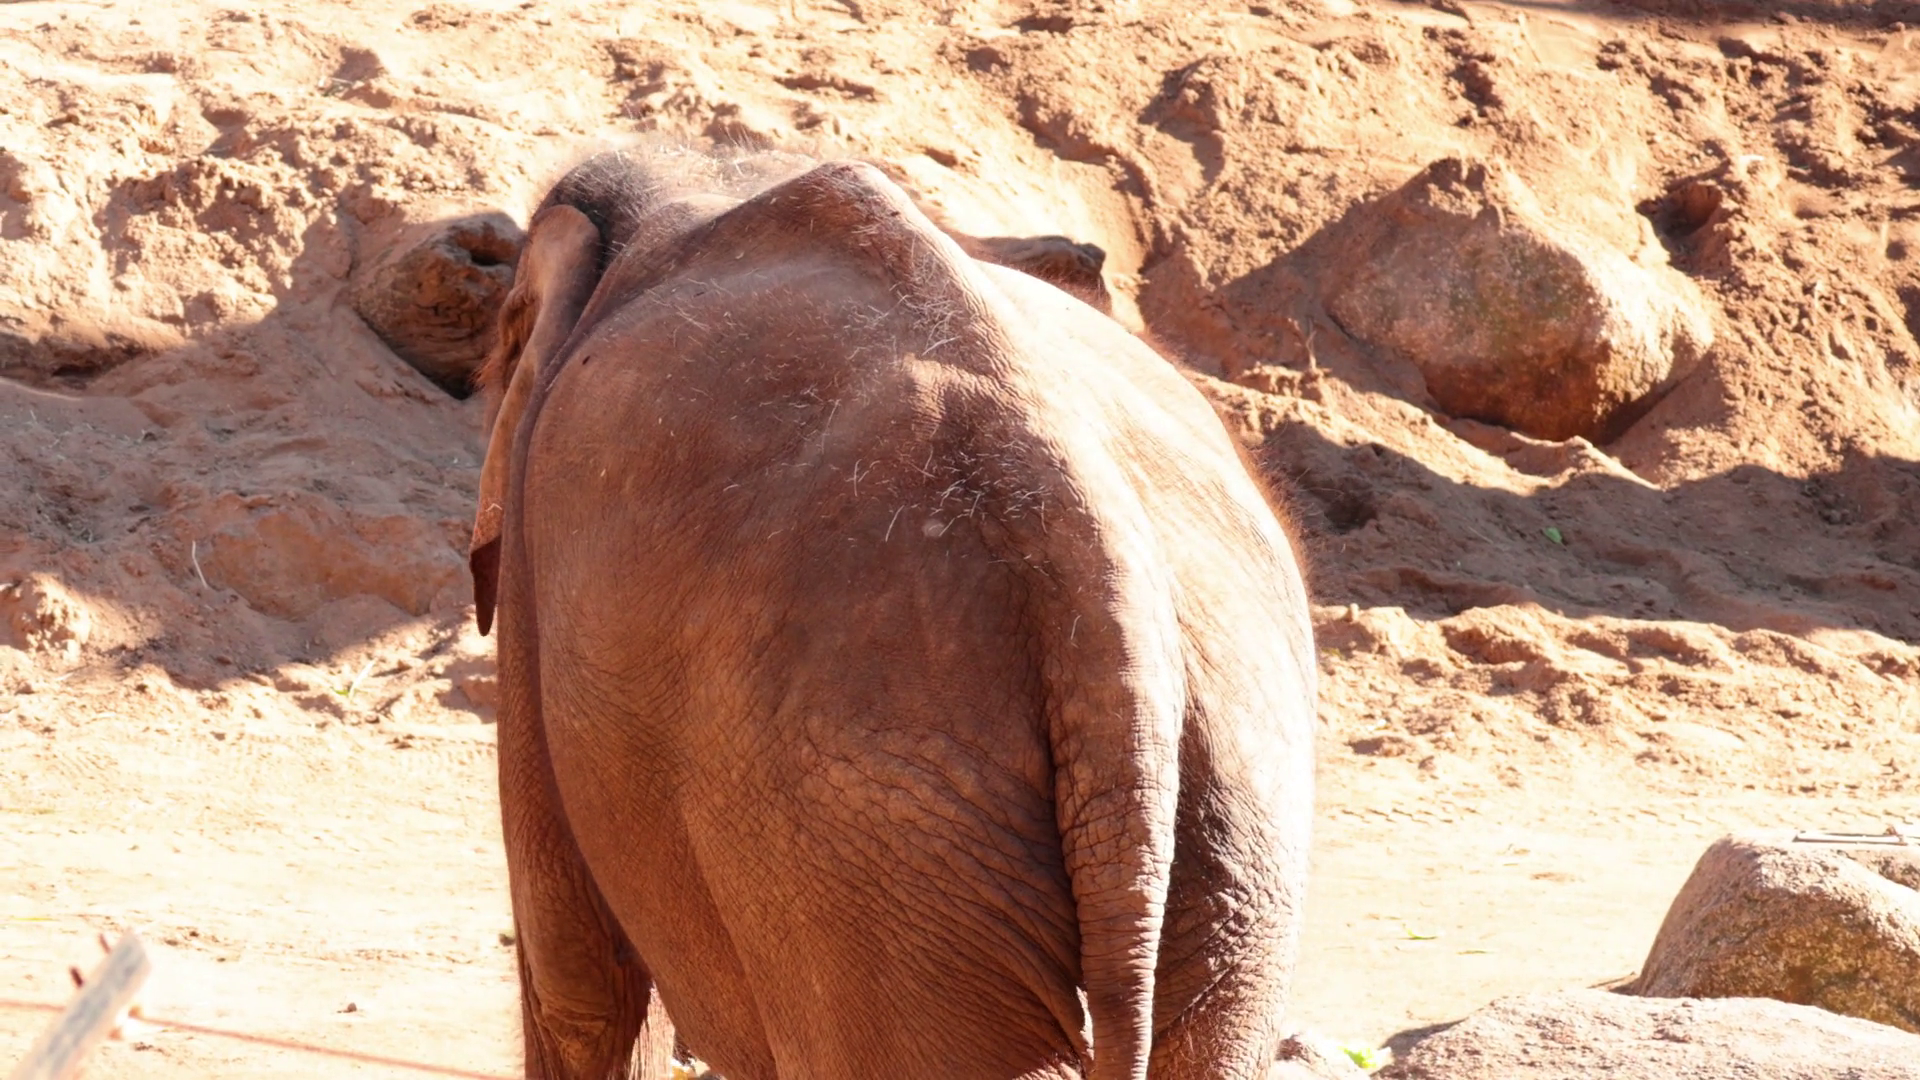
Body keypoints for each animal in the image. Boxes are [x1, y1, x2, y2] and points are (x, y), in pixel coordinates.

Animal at [466, 145, 1317, 1080]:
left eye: (500, 342)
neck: (699, 179)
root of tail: (1098, 563)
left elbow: (579, 984)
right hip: (1227, 825)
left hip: (868, 834)